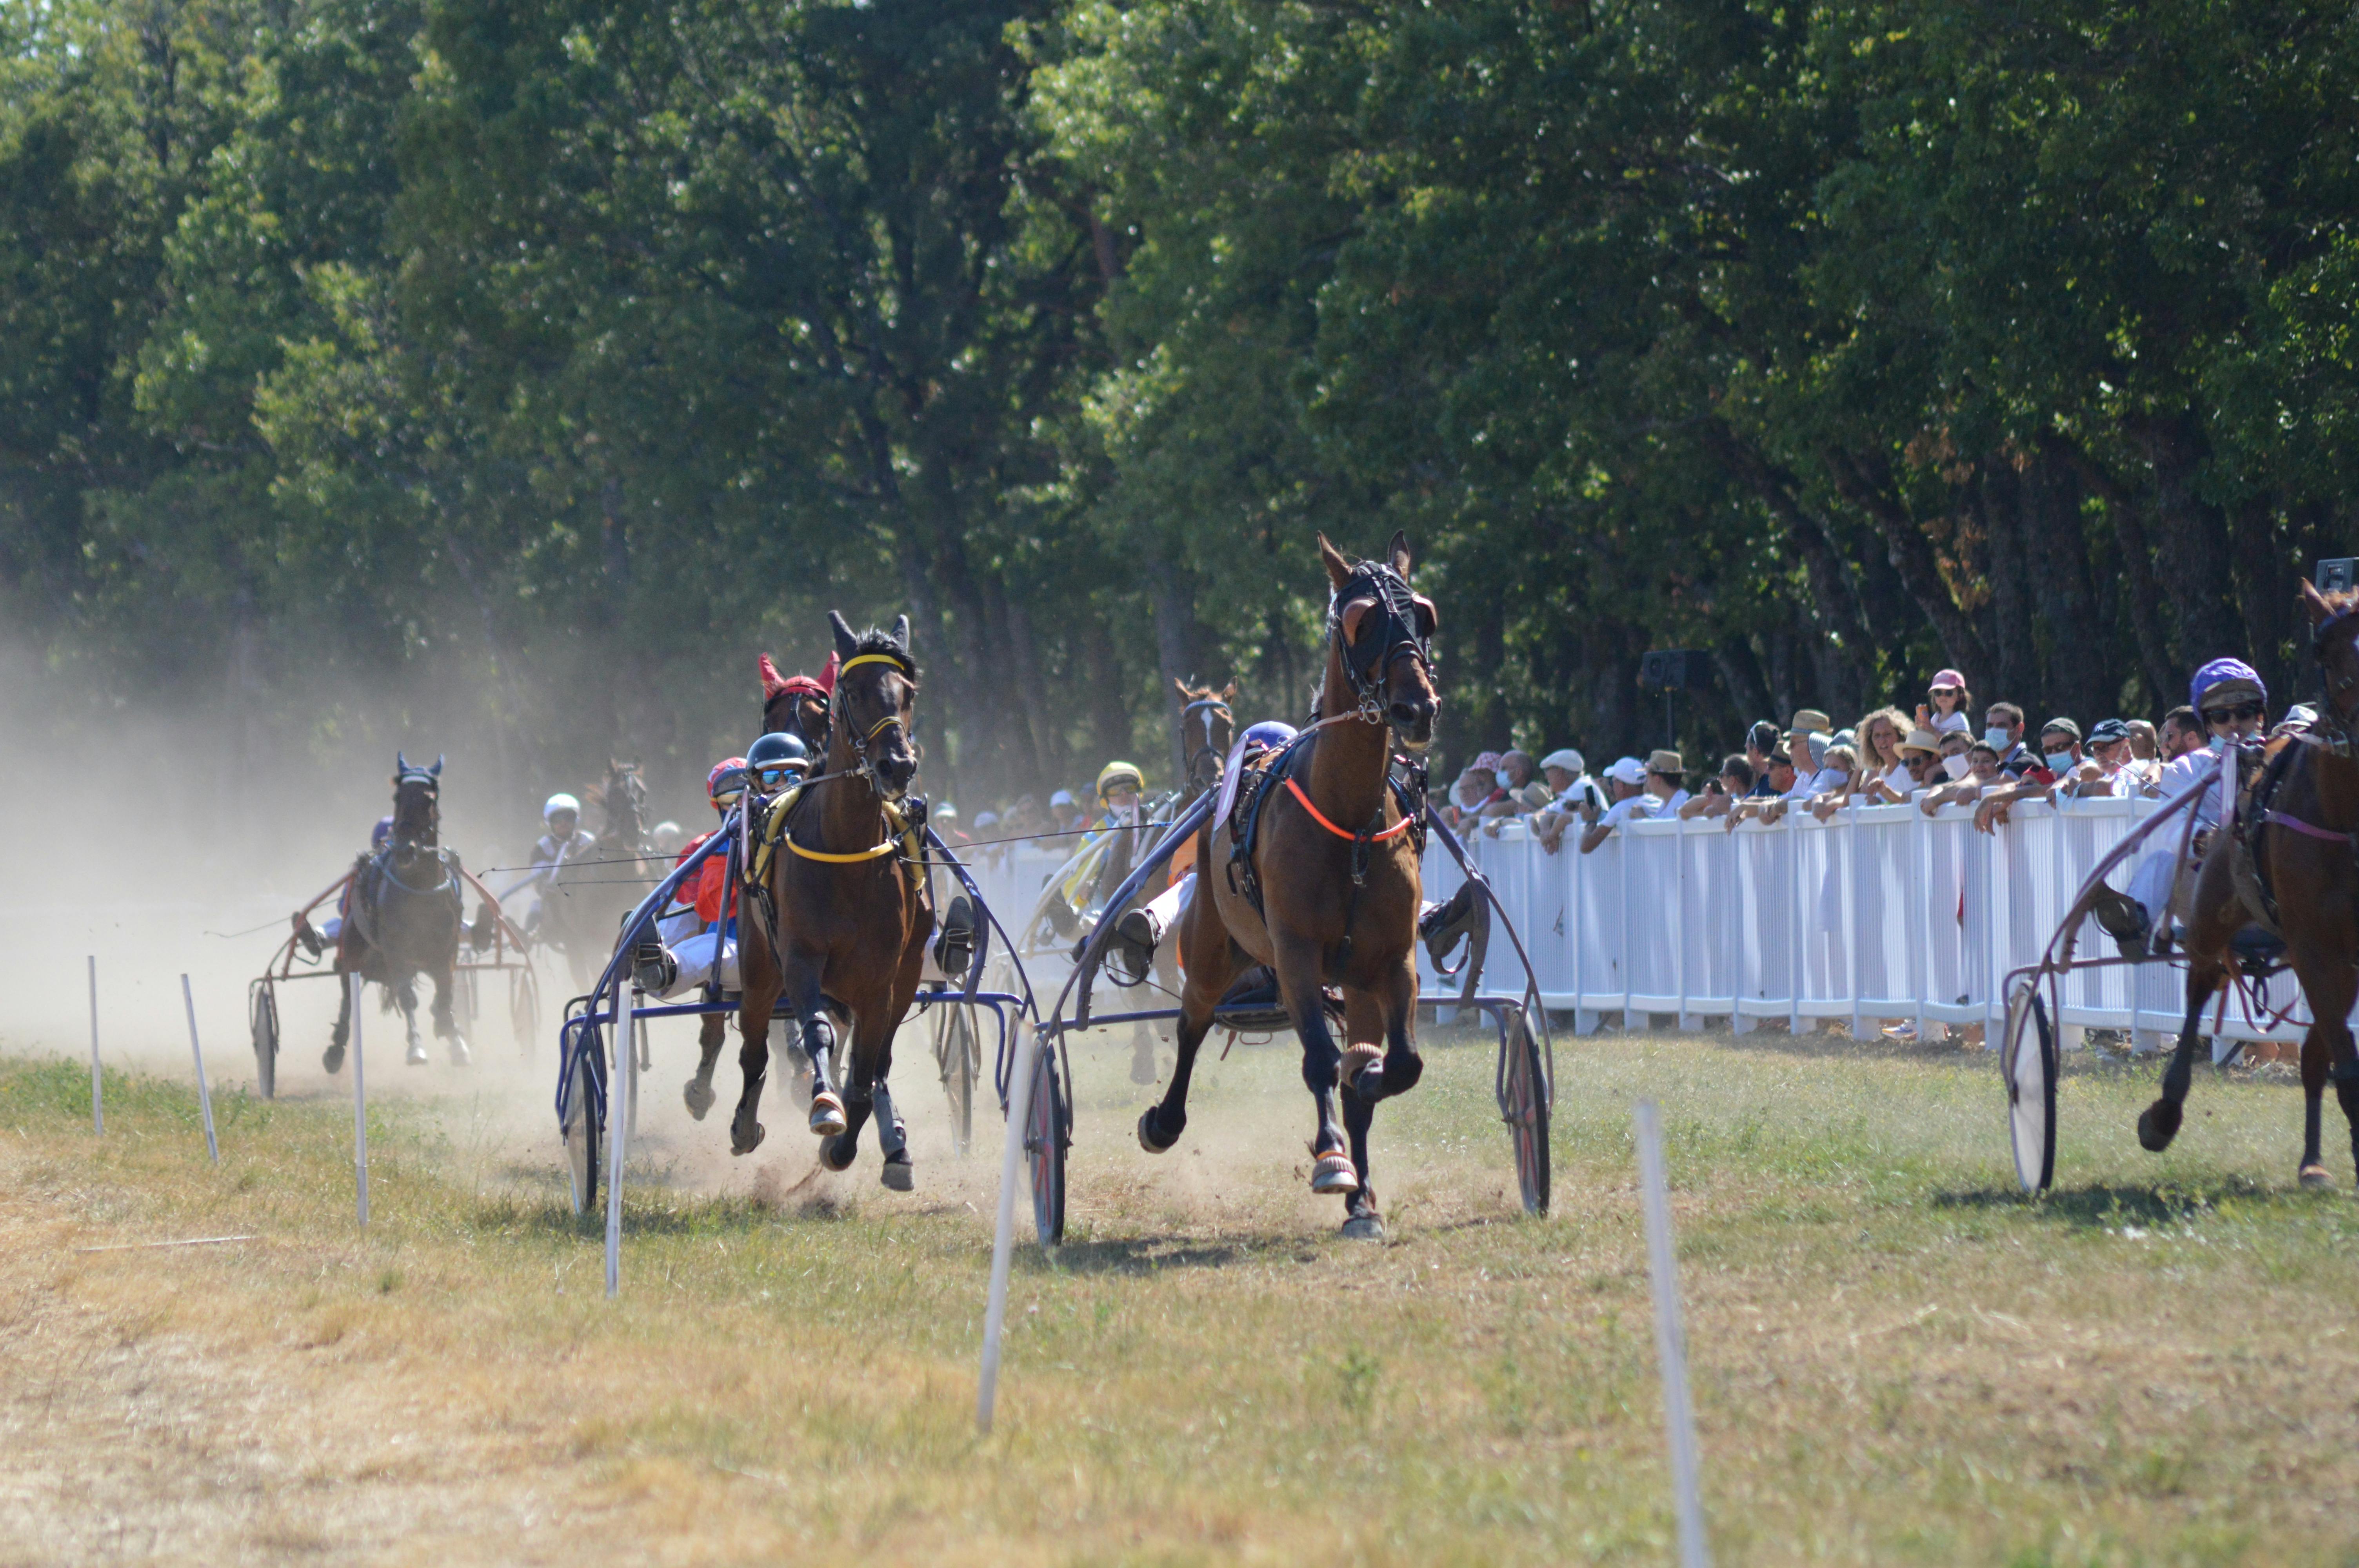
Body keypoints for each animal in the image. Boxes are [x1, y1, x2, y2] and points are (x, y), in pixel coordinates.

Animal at [329, 754, 471, 1070]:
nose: (406, 849)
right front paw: (416, 1047)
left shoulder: (448, 948)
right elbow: (408, 998)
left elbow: (446, 993)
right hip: (353, 947)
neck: (420, 888)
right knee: (347, 992)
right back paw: (336, 1049)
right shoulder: (396, 950)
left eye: (429, 798)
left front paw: (455, 1039)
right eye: (397, 797)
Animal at [732, 612, 933, 1186]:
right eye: (853, 691)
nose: (896, 765)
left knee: (877, 1060)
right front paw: (825, 1106)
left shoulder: (881, 981)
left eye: (907, 692)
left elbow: (866, 1072)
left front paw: (845, 1143)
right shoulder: (800, 956)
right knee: (753, 1048)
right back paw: (744, 1125)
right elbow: (814, 1034)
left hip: (906, 974)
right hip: (758, 968)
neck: (845, 850)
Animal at [1141, 532, 1438, 1238]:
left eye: (1423, 615)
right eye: (1361, 620)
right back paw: (1165, 1120)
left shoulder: (1393, 958)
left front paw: (1366, 1104)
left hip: (1353, 980)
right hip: (1214, 946)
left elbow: (1396, 1064)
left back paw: (1363, 1194)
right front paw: (1332, 1158)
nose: (1417, 707)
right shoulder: (1297, 951)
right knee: (1192, 1020)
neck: (1349, 822)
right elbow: (1320, 1061)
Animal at [2139, 578, 2359, 1188]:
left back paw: (2313, 1161)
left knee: (2312, 1054)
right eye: (2324, 653)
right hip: (2214, 915)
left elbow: (2328, 1052)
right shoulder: (2314, 944)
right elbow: (2348, 1064)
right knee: (2201, 983)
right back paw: (2164, 1112)